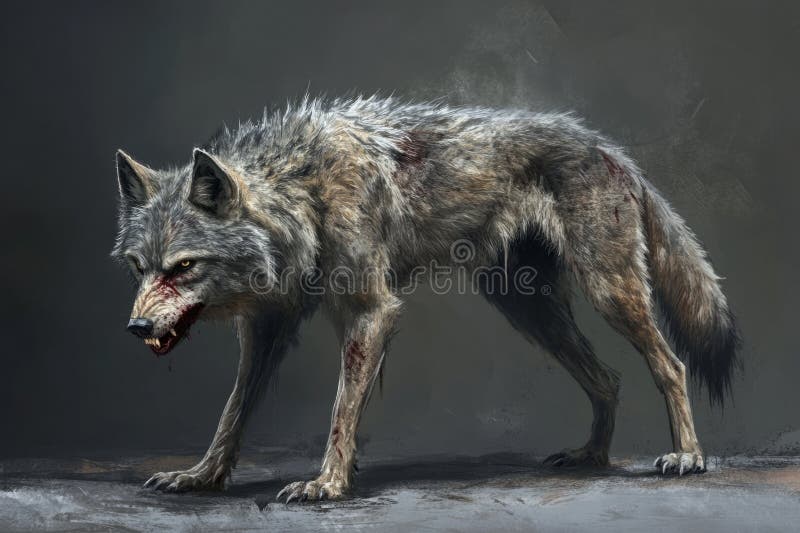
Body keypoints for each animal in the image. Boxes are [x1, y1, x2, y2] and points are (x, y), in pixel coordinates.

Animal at [112, 96, 739, 501]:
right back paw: (591, 458)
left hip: (606, 294)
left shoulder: (371, 313)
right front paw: (201, 477)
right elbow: (232, 411)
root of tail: (614, 152)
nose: (136, 329)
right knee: (608, 379)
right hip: (530, 311)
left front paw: (327, 483)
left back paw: (687, 456)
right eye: (139, 269)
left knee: (671, 364)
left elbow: (340, 410)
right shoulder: (267, 328)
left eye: (184, 267)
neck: (302, 191)